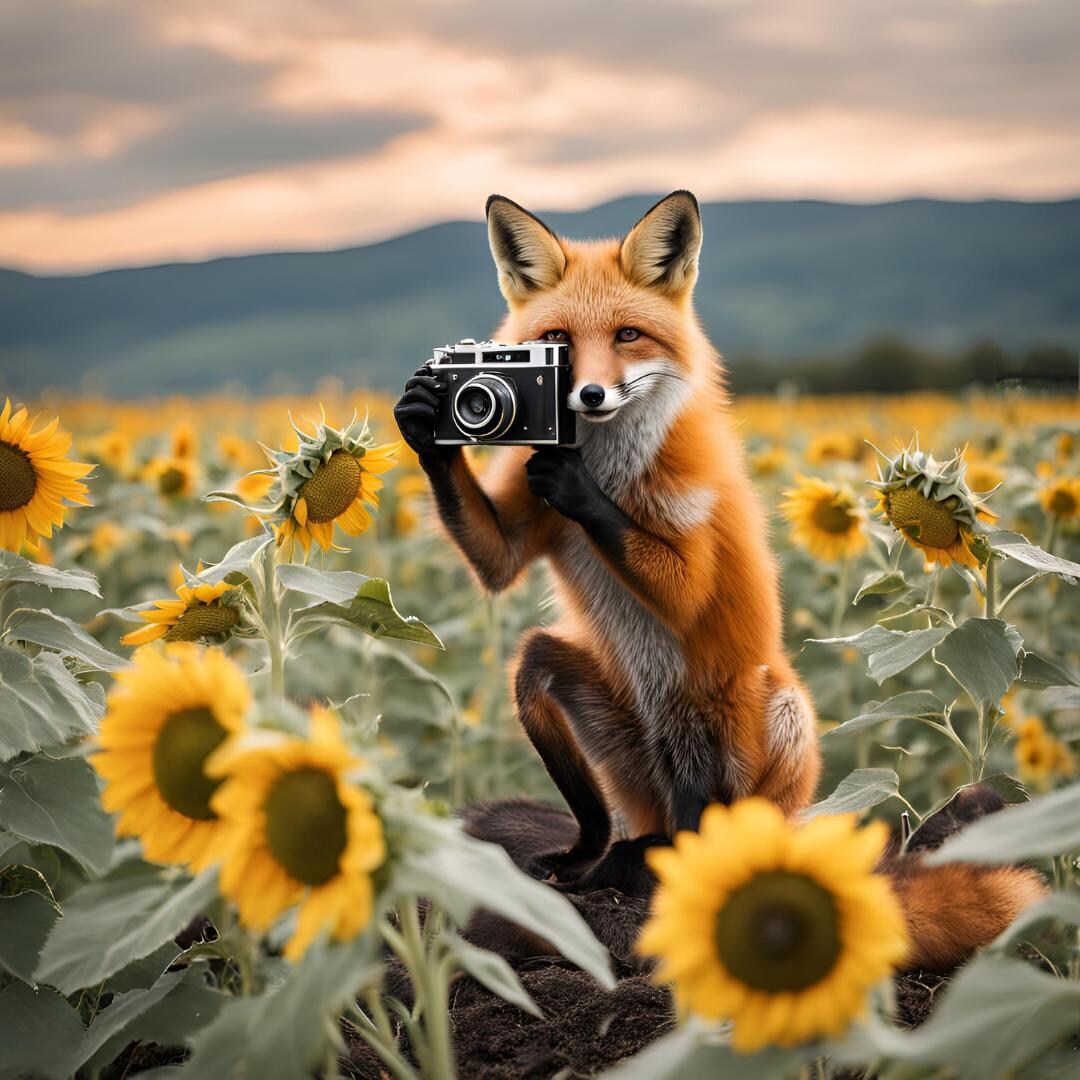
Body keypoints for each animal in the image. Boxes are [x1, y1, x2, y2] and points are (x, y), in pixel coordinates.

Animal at [394, 191, 1045, 967]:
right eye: (555, 341)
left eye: (628, 335)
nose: (587, 395)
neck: (609, 458)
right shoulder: (517, 530)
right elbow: (499, 560)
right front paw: (422, 422)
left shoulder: (690, 555)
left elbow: (675, 578)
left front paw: (576, 484)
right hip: (585, 706)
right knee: (603, 796)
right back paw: (596, 859)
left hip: (754, 716)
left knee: (713, 832)